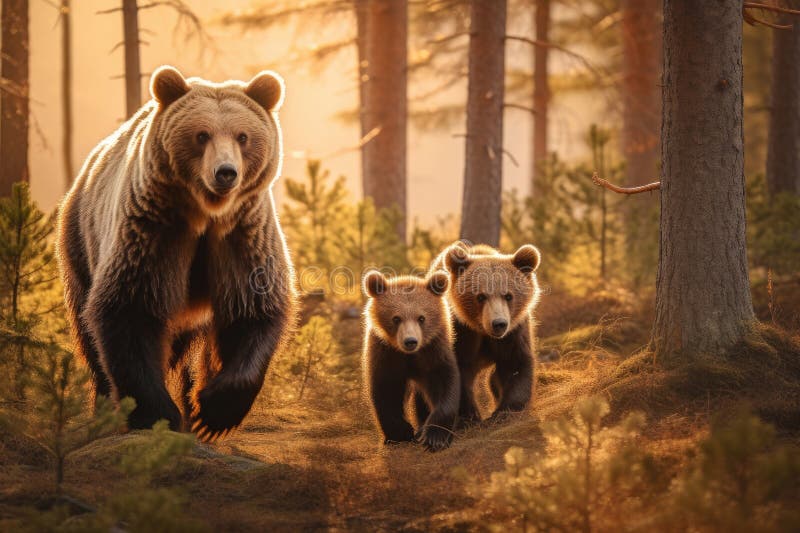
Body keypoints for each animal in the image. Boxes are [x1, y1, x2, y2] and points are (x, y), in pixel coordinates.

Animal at [56, 66, 296, 441]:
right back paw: (105, 412)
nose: (226, 173)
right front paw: (158, 415)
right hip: (80, 242)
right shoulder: (154, 232)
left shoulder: (243, 235)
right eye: (201, 135)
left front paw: (211, 413)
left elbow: (253, 311)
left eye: (242, 136)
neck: (206, 215)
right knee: (90, 337)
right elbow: (129, 310)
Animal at [362, 270, 460, 452]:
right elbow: (386, 390)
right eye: (396, 318)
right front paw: (401, 432)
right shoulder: (387, 354)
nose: (410, 341)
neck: (410, 355)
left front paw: (434, 437)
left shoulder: (433, 351)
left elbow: (444, 384)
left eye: (421, 318)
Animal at [432, 242, 541, 424]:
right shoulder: (461, 333)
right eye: (481, 296)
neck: (482, 331)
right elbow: (457, 373)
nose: (499, 324)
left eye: (508, 296)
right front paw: (470, 417)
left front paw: (506, 411)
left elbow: (515, 363)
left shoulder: (513, 332)